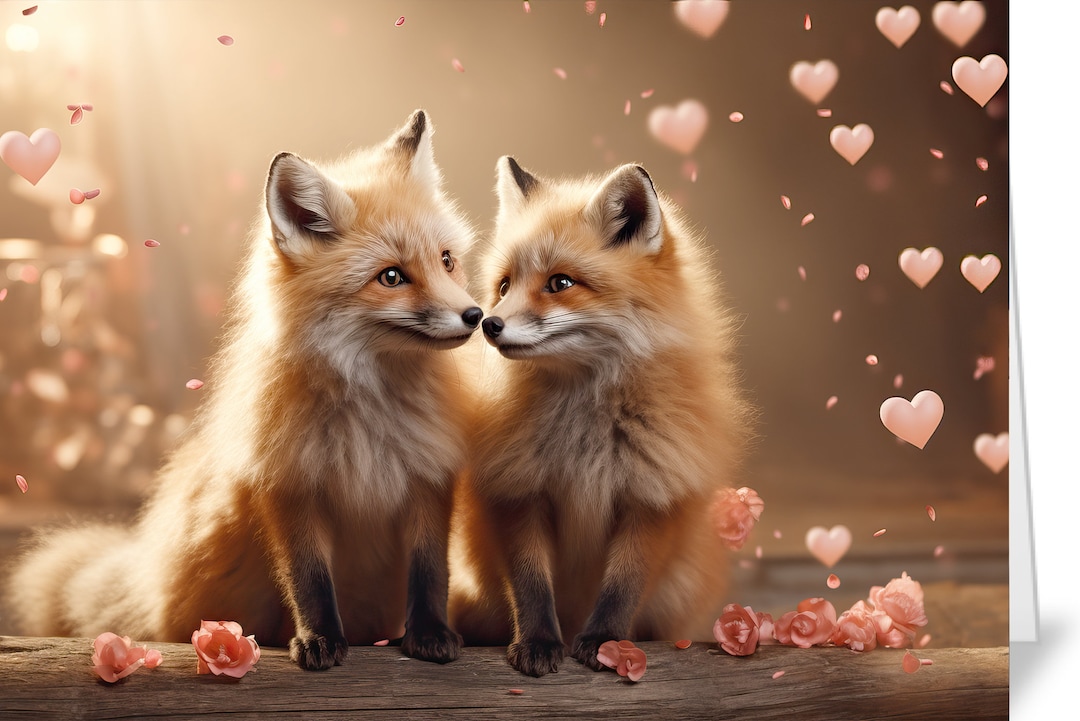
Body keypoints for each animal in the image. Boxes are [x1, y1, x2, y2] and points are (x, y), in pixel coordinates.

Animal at [5, 110, 481, 670]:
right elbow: (309, 579)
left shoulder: (429, 479)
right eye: (391, 277)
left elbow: (431, 573)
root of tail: (147, 577)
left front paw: (430, 634)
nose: (476, 315)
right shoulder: (290, 487)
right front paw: (318, 639)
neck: (372, 417)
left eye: (447, 260)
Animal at [447, 157, 755, 677]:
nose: (488, 323)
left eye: (560, 284)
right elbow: (530, 584)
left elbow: (622, 587)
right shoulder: (519, 490)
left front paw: (606, 644)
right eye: (505, 285)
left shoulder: (651, 496)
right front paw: (538, 642)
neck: (583, 429)